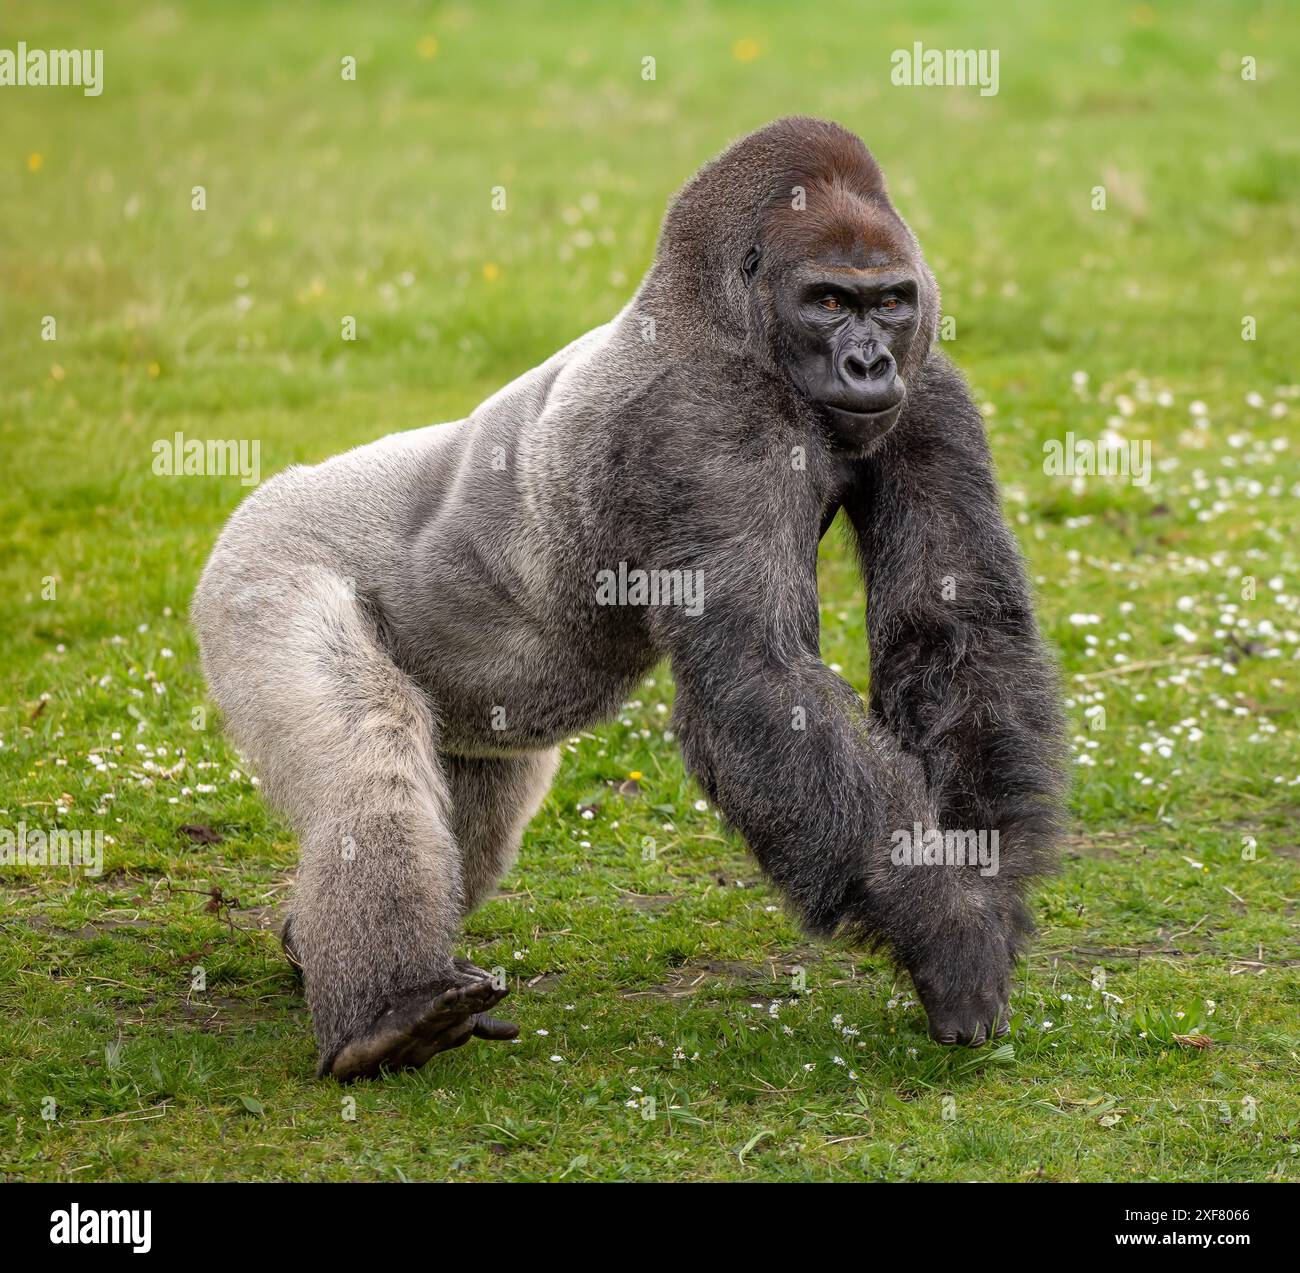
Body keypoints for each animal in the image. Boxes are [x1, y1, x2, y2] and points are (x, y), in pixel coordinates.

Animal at [193, 117, 1066, 1080]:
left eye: (890, 302)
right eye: (831, 303)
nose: (869, 362)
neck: (718, 310)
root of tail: (266, 497)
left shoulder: (930, 386)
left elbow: (956, 626)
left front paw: (984, 873)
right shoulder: (708, 421)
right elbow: (761, 680)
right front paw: (952, 933)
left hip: (466, 711)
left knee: (473, 817)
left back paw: (312, 949)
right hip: (260, 566)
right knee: (366, 755)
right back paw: (383, 1018)